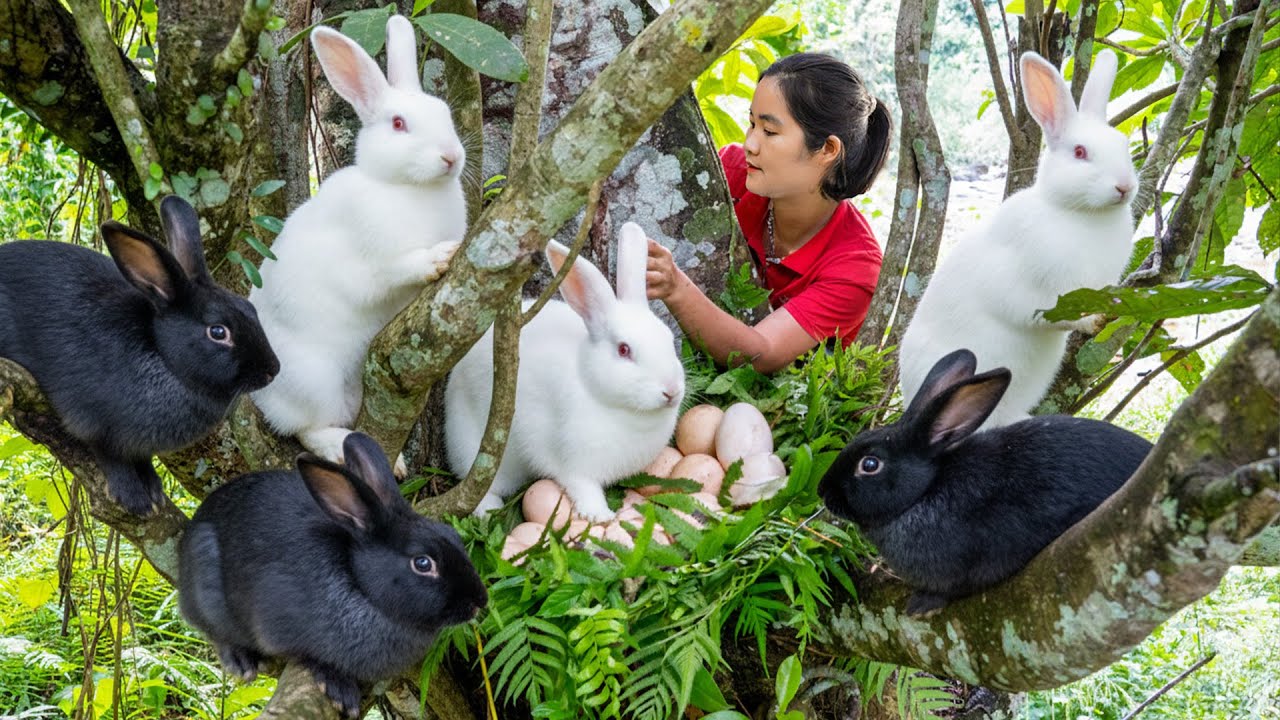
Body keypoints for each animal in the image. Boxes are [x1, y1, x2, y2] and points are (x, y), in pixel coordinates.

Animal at [0, 196, 279, 516]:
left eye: (250, 309)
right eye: (218, 332)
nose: (272, 370)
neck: (163, 357)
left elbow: (142, 459)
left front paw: (154, 489)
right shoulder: (95, 423)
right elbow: (110, 457)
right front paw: (134, 498)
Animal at [178, 431, 488, 719]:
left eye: (453, 535)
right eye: (422, 563)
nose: (479, 602)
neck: (360, 585)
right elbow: (306, 654)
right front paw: (340, 690)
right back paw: (241, 661)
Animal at [249, 14, 466, 474]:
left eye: (445, 114)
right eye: (399, 123)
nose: (451, 157)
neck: (405, 187)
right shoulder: (371, 262)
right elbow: (393, 270)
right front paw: (438, 257)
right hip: (314, 381)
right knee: (306, 430)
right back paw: (337, 446)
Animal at [444, 223, 686, 521]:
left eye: (669, 339)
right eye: (624, 350)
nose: (671, 391)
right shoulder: (574, 465)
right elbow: (582, 486)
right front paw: (600, 515)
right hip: (475, 448)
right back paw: (489, 509)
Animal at [898, 50, 1139, 429]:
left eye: (1124, 146)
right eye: (1080, 152)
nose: (1124, 187)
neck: (1082, 214)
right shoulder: (1037, 289)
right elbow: (1047, 313)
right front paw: (1093, 320)